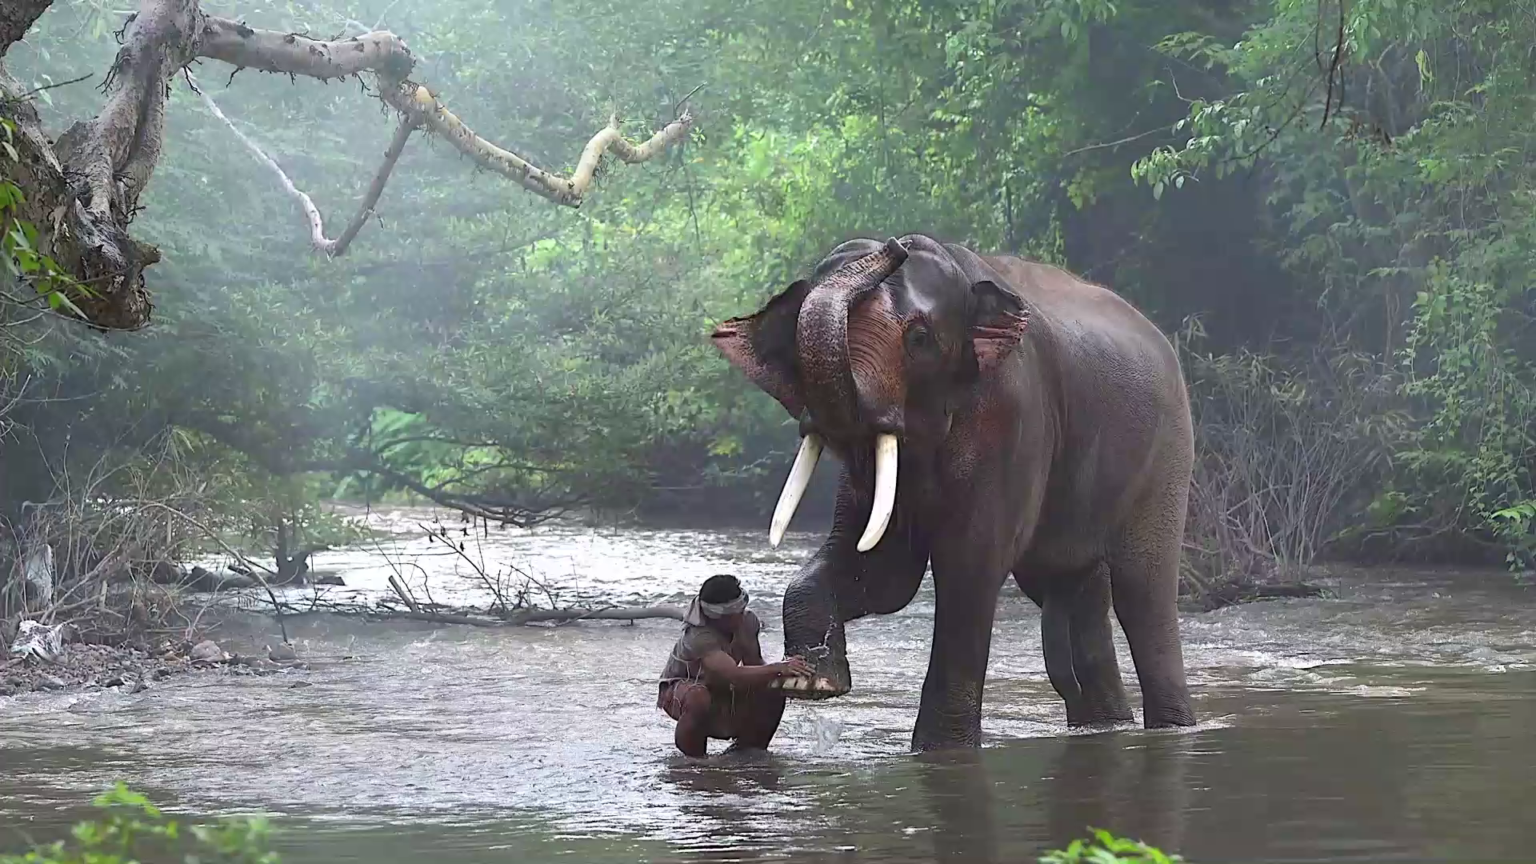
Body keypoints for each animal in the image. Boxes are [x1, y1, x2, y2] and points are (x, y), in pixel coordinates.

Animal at [710, 233, 1196, 751]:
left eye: (919, 339)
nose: (896, 243)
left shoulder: (1012, 414)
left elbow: (968, 566)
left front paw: (940, 749)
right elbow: (883, 574)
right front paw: (810, 680)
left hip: (1167, 455)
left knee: (1143, 592)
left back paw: (1172, 726)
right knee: (1076, 594)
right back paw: (1105, 725)